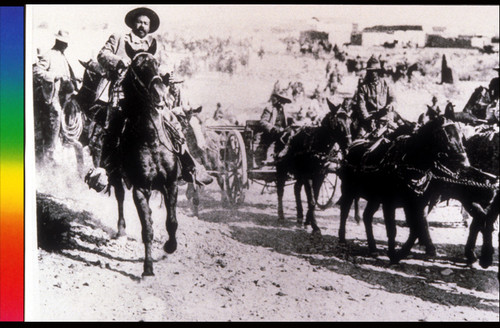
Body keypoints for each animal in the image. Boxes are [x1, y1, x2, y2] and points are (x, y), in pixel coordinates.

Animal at [119, 52, 182, 276]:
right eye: (138, 68)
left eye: (157, 64)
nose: (160, 94)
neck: (151, 138)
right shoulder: (140, 189)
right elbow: (147, 229)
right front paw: (148, 267)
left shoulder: (171, 183)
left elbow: (171, 222)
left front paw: (170, 246)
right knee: (120, 197)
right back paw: (120, 231)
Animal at [276, 98, 354, 232]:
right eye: (337, 123)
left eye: (350, 121)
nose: (348, 147)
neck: (317, 144)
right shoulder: (308, 176)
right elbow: (311, 200)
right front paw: (315, 226)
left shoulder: (320, 174)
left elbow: (315, 196)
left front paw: (308, 221)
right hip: (282, 169)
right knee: (280, 190)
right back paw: (281, 215)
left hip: (300, 173)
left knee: (296, 188)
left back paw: (299, 216)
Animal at [338, 116, 470, 262]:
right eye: (444, 136)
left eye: (461, 135)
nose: (465, 164)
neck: (406, 163)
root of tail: (352, 147)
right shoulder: (389, 203)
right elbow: (393, 229)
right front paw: (393, 253)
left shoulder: (417, 204)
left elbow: (418, 226)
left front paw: (405, 252)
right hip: (348, 190)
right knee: (344, 211)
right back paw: (342, 240)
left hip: (374, 198)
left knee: (367, 216)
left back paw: (373, 248)